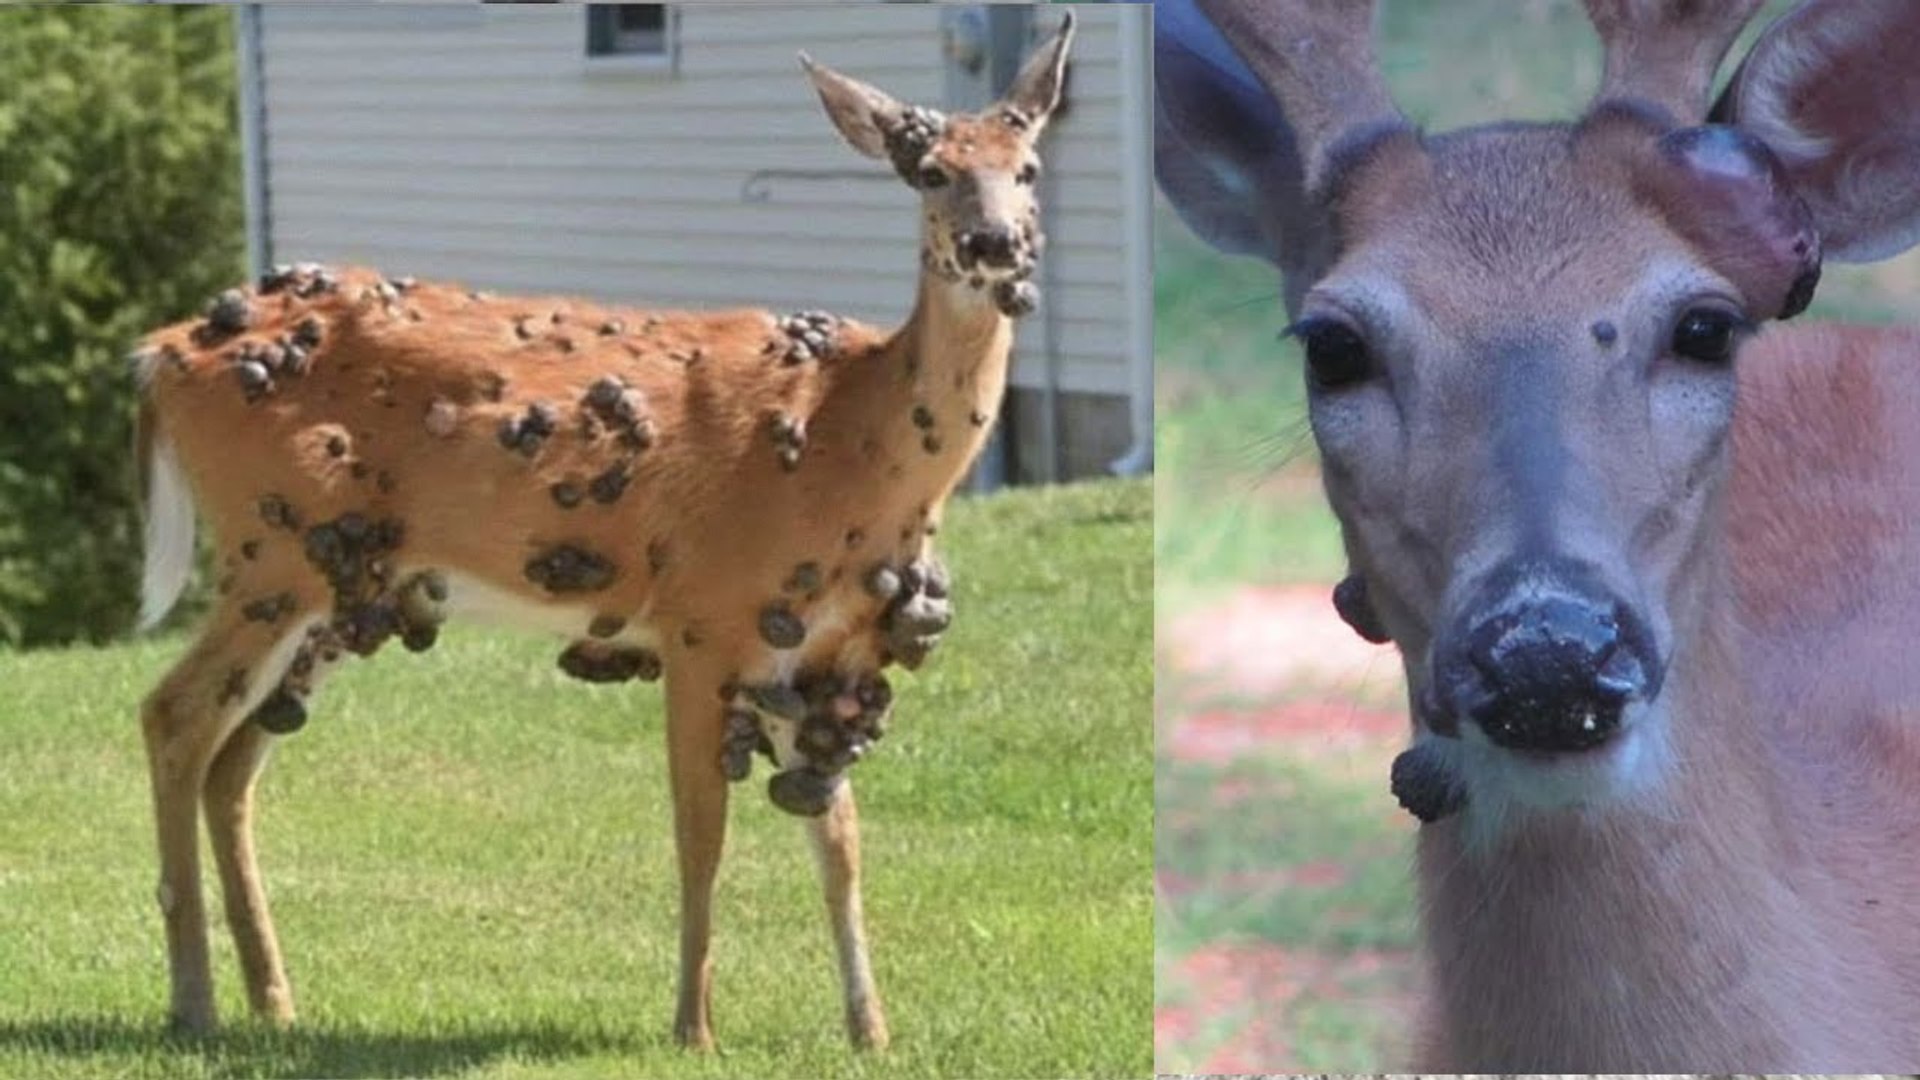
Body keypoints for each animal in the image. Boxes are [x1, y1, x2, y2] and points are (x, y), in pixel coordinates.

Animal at [129, 16, 1072, 1051]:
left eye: (1027, 166)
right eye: (932, 171)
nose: (994, 242)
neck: (848, 440)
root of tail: (160, 353)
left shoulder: (822, 651)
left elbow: (840, 842)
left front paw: (873, 1033)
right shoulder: (704, 619)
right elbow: (701, 835)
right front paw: (694, 1029)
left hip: (346, 586)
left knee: (233, 761)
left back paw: (274, 1000)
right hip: (272, 550)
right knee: (173, 715)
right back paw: (191, 999)